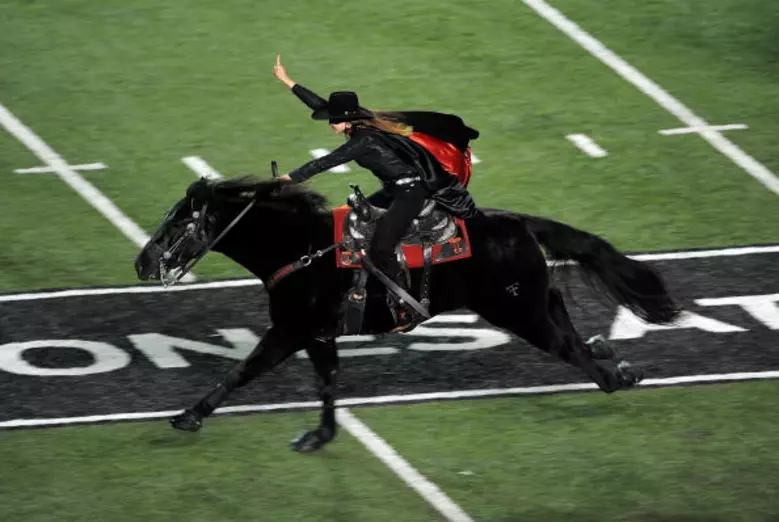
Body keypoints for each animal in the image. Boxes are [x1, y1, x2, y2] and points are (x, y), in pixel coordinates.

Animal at [134, 175, 681, 452]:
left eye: (178, 224)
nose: (141, 264)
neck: (303, 249)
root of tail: (520, 222)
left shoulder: (291, 330)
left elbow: (244, 371)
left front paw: (189, 416)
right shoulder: (317, 334)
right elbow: (327, 381)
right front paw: (321, 435)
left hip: (520, 314)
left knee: (572, 350)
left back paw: (617, 375)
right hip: (535, 304)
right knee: (575, 336)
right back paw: (616, 359)